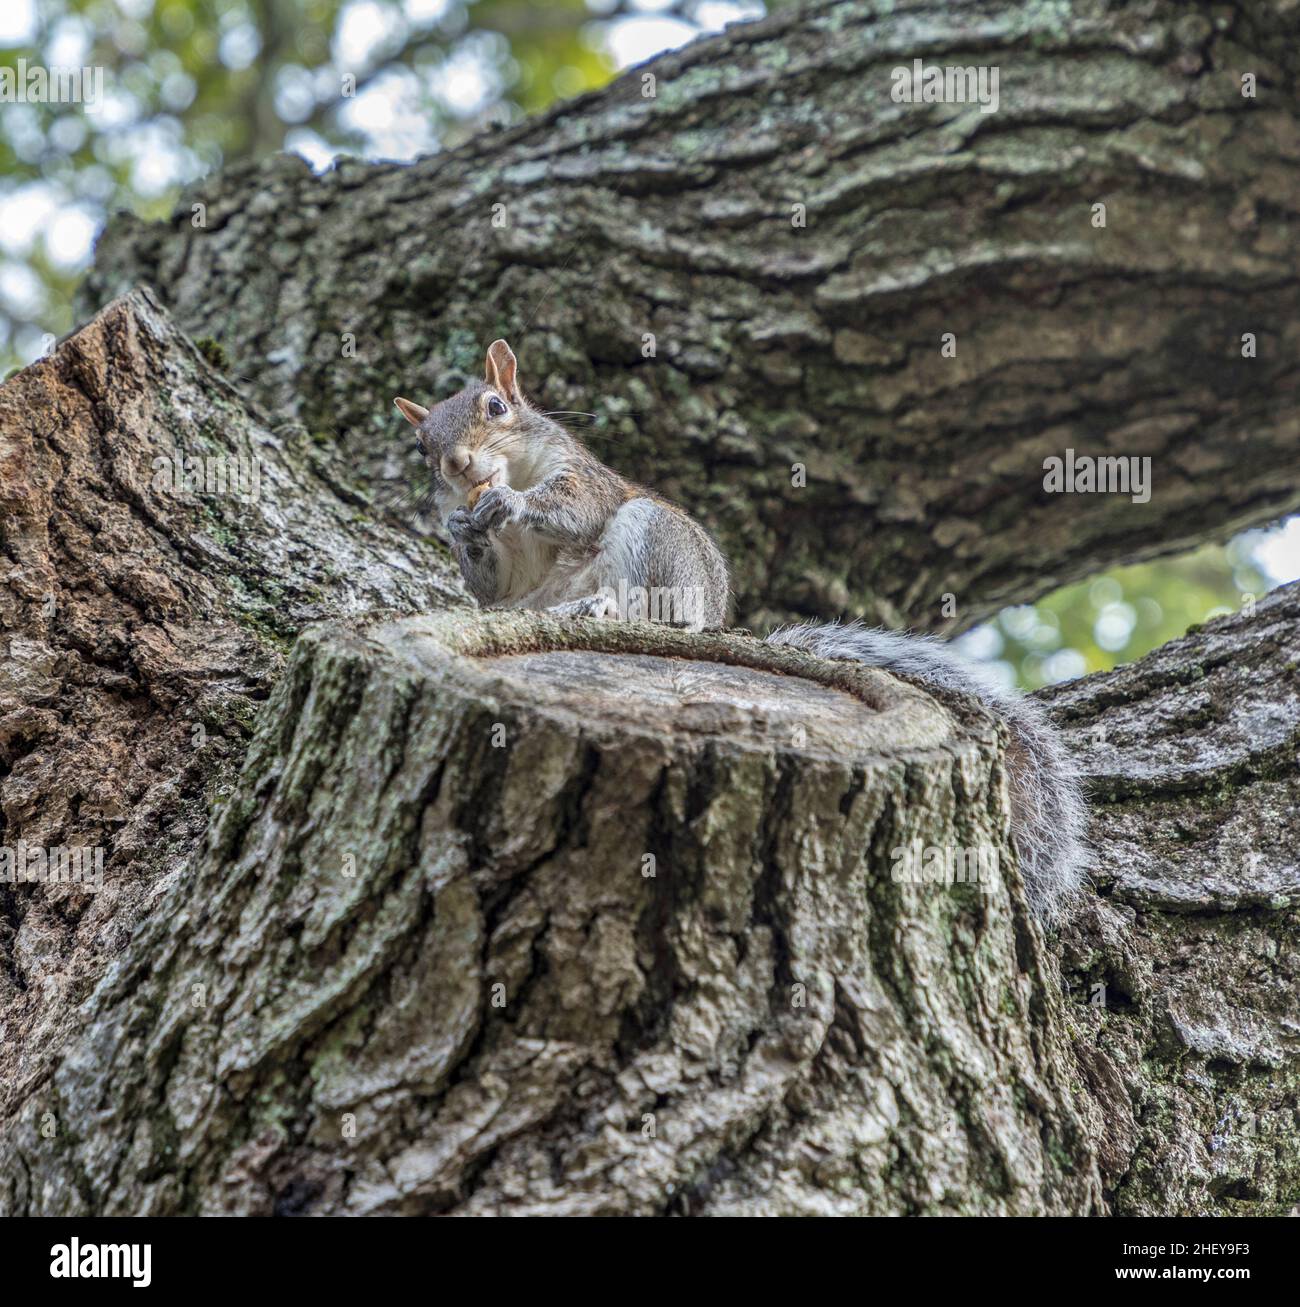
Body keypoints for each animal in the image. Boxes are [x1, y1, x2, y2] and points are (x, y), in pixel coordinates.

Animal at [396, 340, 1086, 923]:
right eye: (422, 448)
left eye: (496, 406)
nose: (458, 465)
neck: (507, 475)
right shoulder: (504, 579)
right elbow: (491, 584)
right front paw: (463, 528)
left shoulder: (583, 478)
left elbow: (572, 508)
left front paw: (512, 506)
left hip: (659, 540)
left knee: (659, 611)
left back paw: (599, 609)